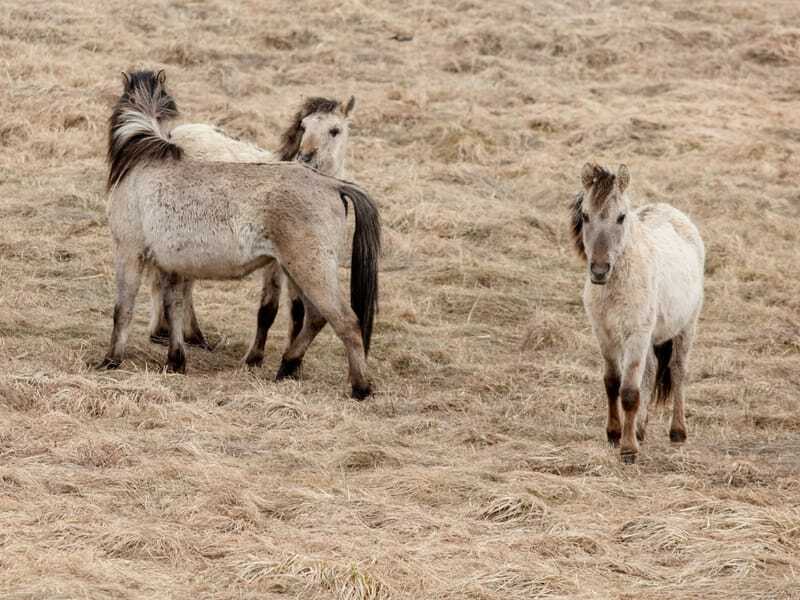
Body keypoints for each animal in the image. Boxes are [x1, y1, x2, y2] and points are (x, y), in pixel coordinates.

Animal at [151, 95, 356, 366]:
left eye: (335, 130)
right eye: (303, 126)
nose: (306, 158)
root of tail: (176, 133)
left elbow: (298, 310)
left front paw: (294, 362)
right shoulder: (276, 263)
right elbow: (268, 309)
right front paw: (254, 359)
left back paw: (193, 336)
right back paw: (164, 332)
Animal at [568, 162, 708, 462]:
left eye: (621, 217)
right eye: (585, 215)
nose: (599, 271)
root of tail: (674, 213)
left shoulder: (636, 335)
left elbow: (630, 392)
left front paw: (629, 449)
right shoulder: (604, 335)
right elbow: (612, 383)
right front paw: (614, 435)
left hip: (686, 327)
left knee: (677, 371)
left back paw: (677, 431)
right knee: (652, 369)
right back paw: (641, 428)